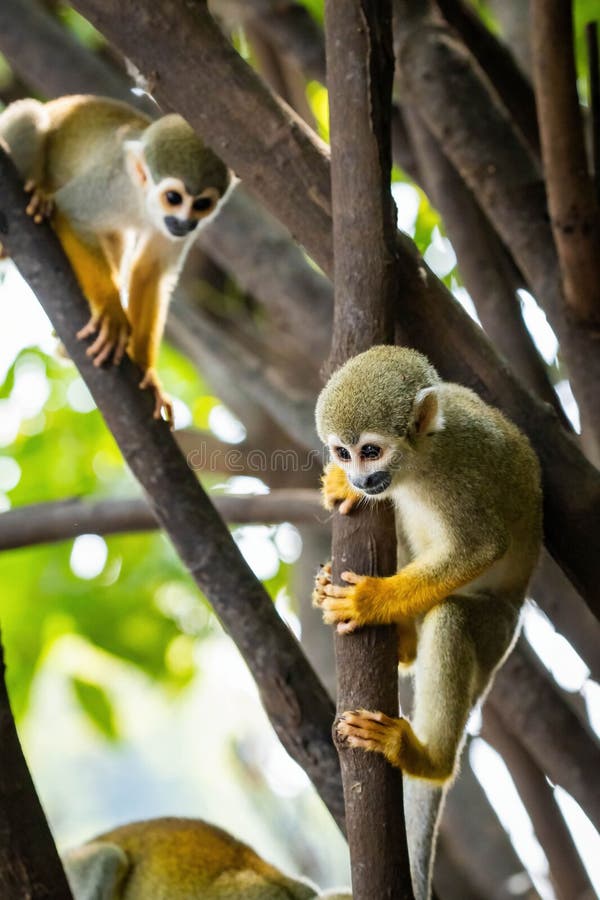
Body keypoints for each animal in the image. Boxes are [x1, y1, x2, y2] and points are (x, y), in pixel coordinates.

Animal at [0, 95, 232, 425]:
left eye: (202, 204)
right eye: (174, 198)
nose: (185, 223)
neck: (143, 200)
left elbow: (151, 271)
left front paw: (147, 371)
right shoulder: (111, 185)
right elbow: (70, 212)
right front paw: (111, 312)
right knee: (29, 117)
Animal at [312, 345, 542, 900]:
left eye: (371, 451)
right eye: (343, 452)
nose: (360, 478)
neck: (421, 456)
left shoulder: (462, 472)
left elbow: (481, 548)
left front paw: (371, 600)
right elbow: (390, 505)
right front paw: (340, 487)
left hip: (496, 629)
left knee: (453, 613)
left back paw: (426, 760)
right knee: (396, 513)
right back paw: (403, 645)